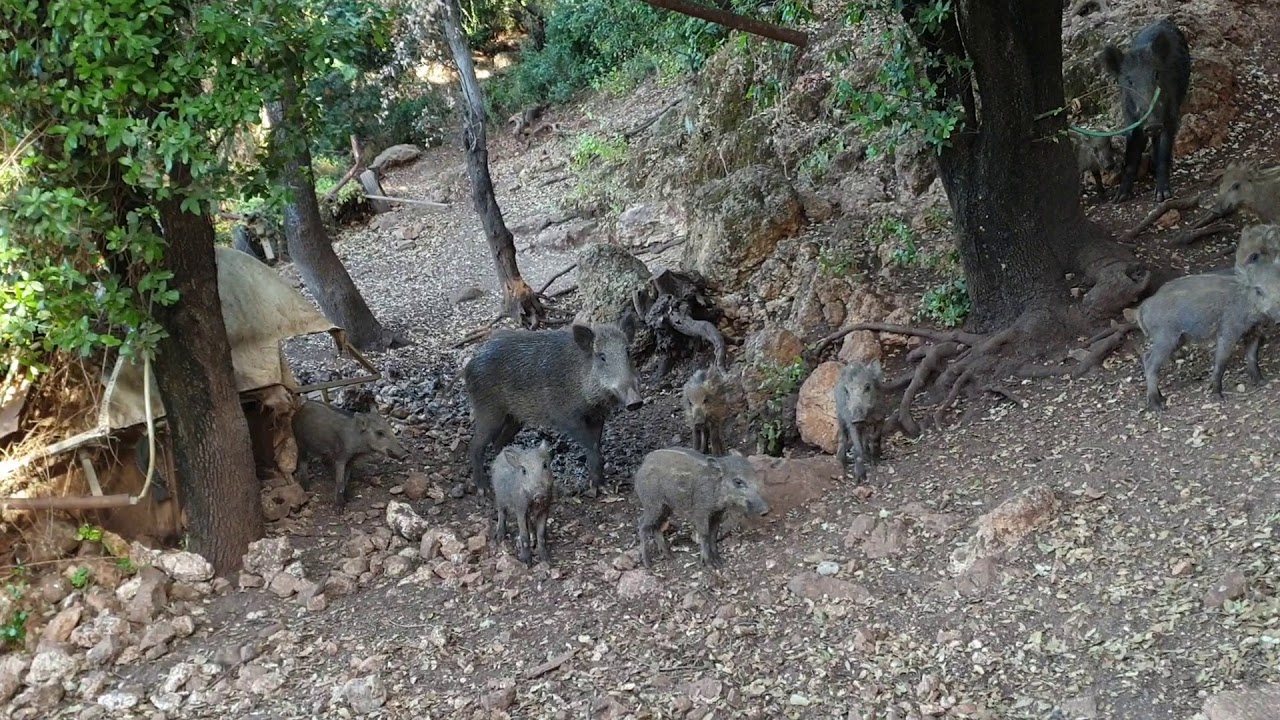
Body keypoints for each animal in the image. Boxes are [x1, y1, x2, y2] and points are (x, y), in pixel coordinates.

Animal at [464, 323, 644, 499]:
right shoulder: (566, 417)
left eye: (627, 352)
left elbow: (594, 446)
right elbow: (591, 445)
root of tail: (470, 364)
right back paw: (484, 490)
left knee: (498, 442)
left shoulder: (597, 417)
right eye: (602, 356)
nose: (635, 402)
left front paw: (602, 488)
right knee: (475, 446)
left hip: (514, 418)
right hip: (488, 411)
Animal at [634, 447, 769, 569]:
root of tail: (643, 464)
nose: (766, 511)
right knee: (642, 524)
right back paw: (648, 564)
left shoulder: (718, 513)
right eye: (738, 482)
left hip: (666, 507)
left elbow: (713, 534)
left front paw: (719, 561)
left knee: (656, 527)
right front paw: (710, 565)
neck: (716, 490)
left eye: (755, 476)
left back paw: (670, 556)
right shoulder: (700, 511)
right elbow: (704, 534)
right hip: (652, 504)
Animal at [1101, 17, 1192, 203]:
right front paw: (1119, 198)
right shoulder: (1131, 120)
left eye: (1156, 75)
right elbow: (1130, 157)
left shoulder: (1170, 116)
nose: (1153, 124)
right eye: (1129, 81)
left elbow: (1164, 151)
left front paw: (1162, 196)